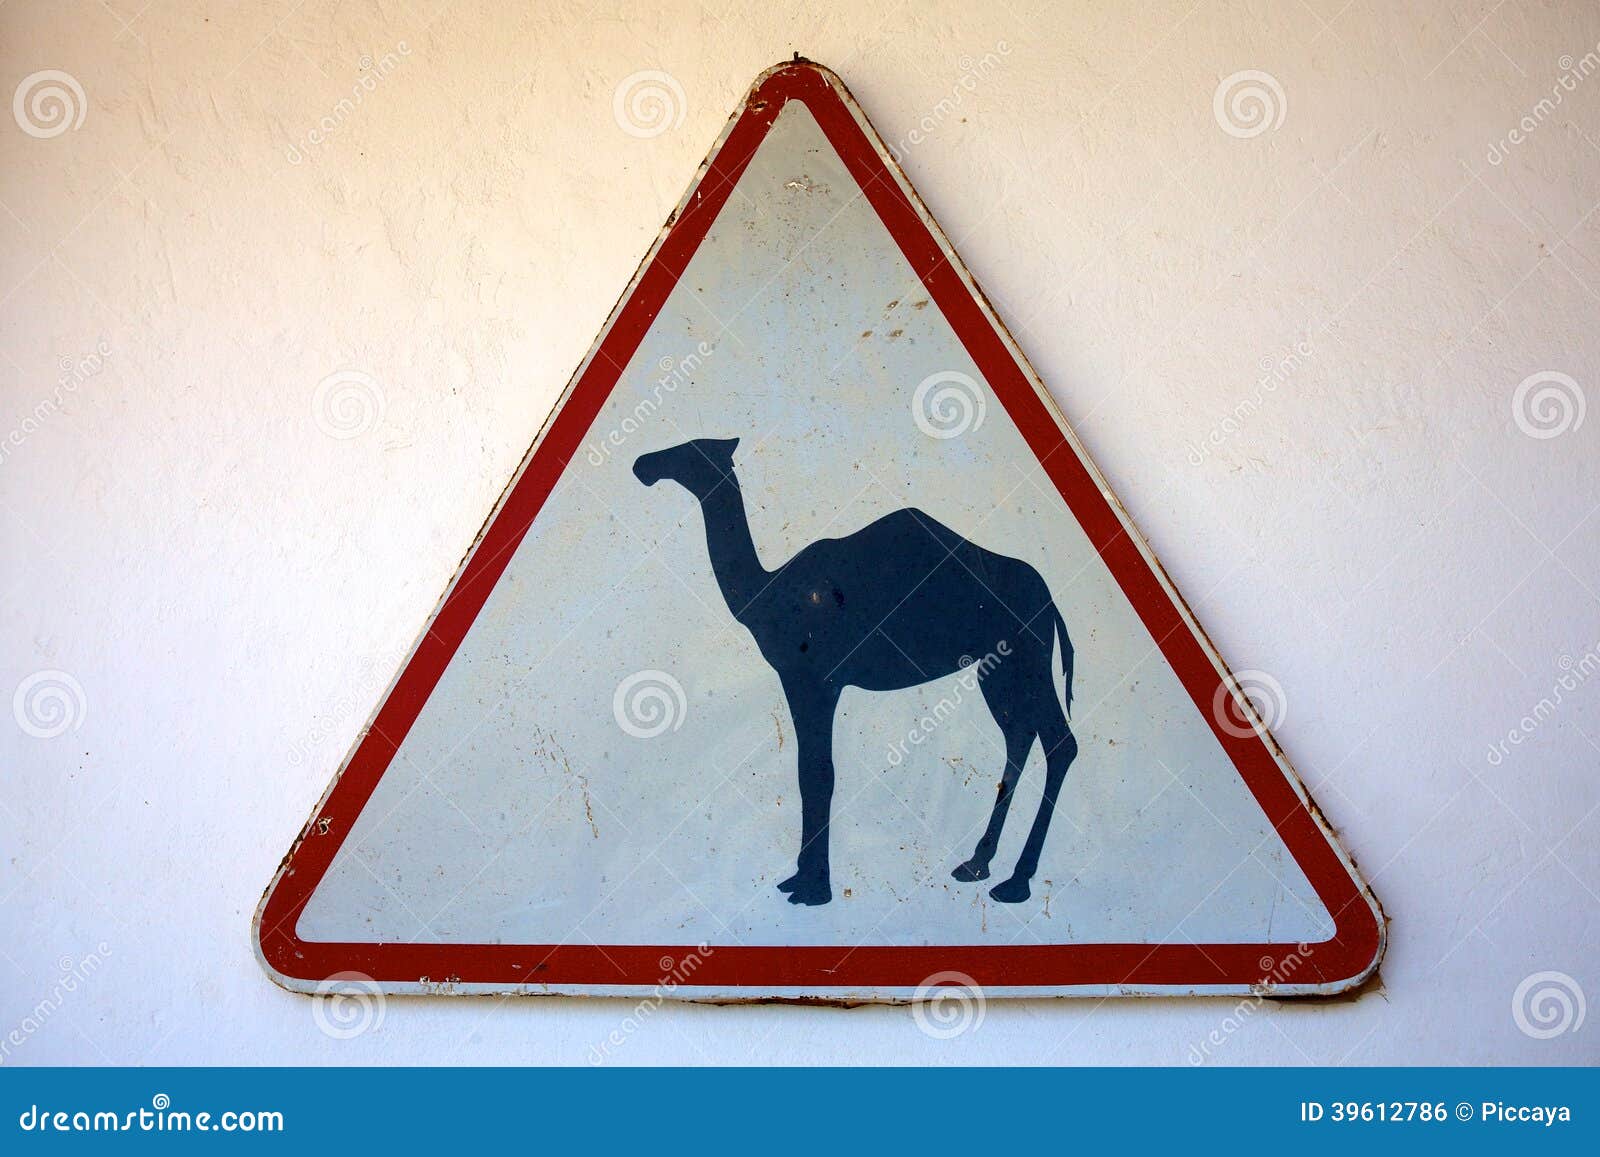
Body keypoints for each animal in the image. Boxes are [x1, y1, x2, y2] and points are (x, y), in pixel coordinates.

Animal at [632, 437, 1078, 905]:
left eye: (691, 450)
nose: (643, 465)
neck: (766, 595)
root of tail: (1052, 601)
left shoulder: (813, 680)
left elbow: (817, 773)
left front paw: (812, 887)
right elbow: (811, 771)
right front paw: (800, 878)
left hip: (1027, 654)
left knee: (1058, 742)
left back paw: (1017, 882)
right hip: (999, 668)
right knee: (1020, 737)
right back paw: (977, 865)